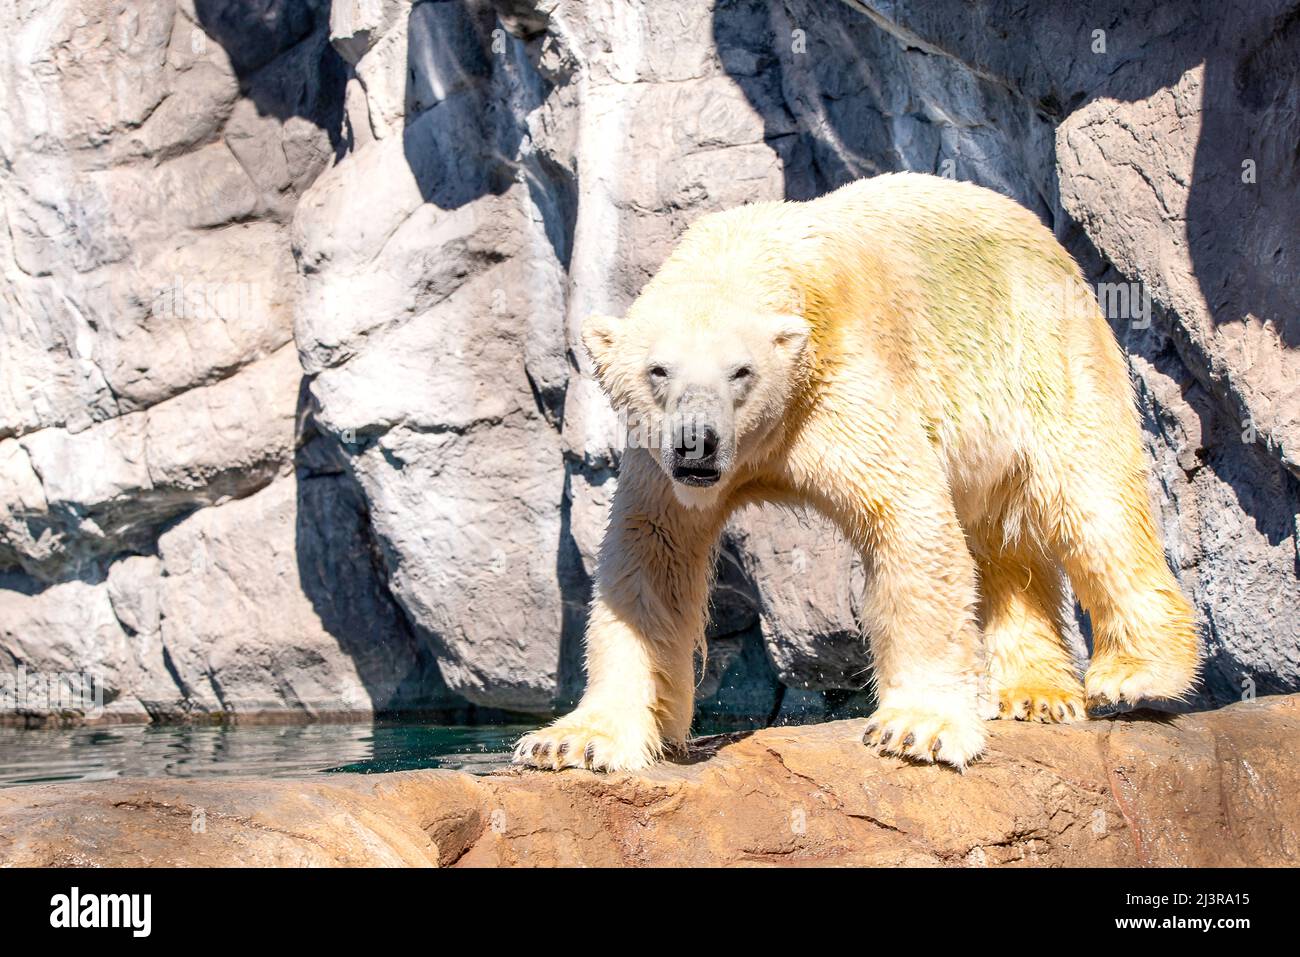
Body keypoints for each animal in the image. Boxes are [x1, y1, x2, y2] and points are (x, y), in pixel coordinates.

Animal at [514, 172, 1200, 772]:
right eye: (659, 370)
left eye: (740, 371)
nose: (696, 443)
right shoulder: (659, 465)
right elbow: (649, 559)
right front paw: (574, 740)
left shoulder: (843, 388)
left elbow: (907, 521)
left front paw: (917, 727)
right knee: (1002, 541)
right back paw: (1035, 692)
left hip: (1044, 350)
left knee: (1090, 501)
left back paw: (1133, 674)